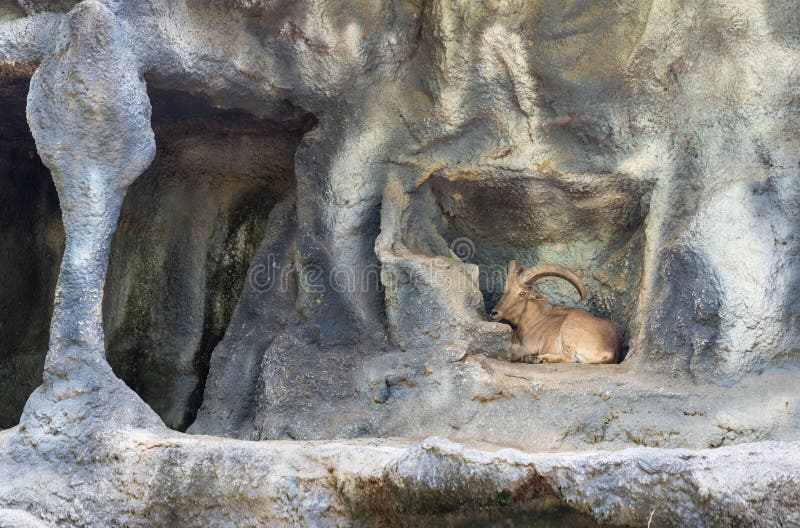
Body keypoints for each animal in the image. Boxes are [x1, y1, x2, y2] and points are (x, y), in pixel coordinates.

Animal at [490, 260, 620, 364]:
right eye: (505, 290)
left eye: (522, 293)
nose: (494, 313)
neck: (535, 319)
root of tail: (611, 351)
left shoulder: (529, 346)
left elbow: (513, 354)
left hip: (569, 329)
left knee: (570, 358)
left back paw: (537, 359)